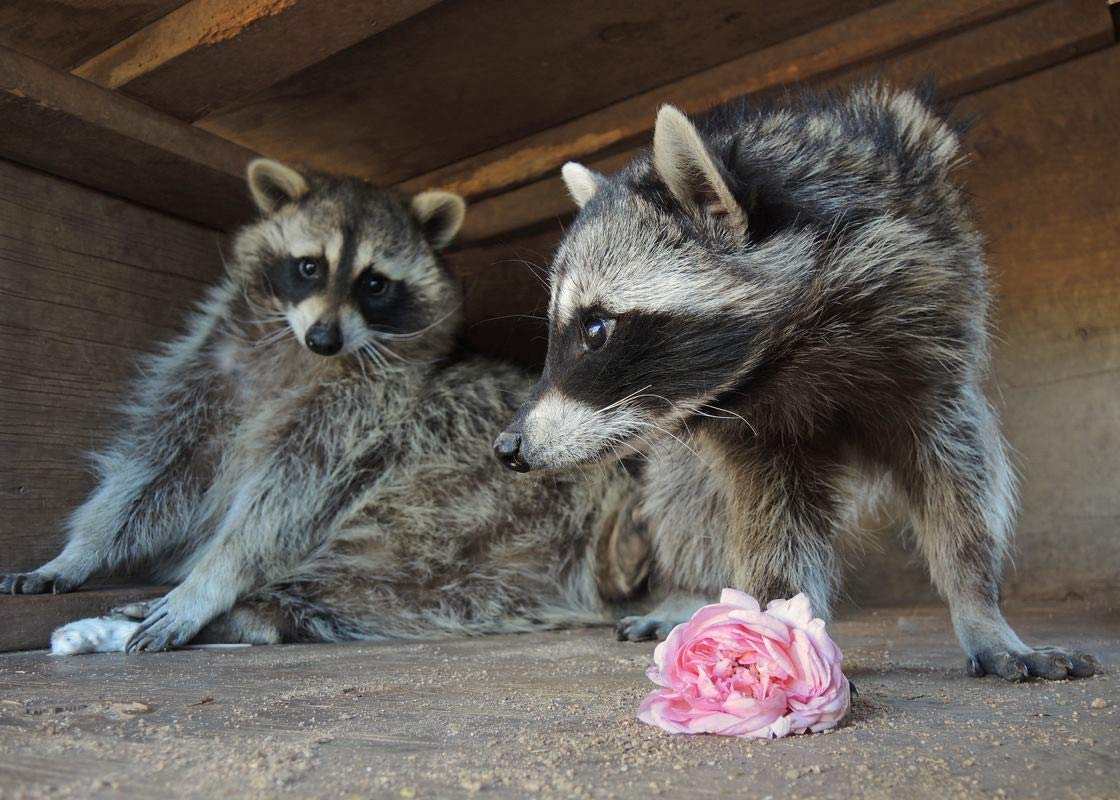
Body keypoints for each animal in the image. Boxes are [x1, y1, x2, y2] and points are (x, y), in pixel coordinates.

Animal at [2, 159, 649, 649]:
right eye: (308, 267)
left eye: (374, 283)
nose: (325, 338)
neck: (300, 358)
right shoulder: (212, 371)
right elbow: (157, 471)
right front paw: (79, 553)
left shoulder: (361, 413)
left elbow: (285, 502)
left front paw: (210, 579)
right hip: (452, 566)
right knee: (354, 591)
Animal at [495, 82, 1097, 681]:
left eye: (596, 330)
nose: (508, 446)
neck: (784, 353)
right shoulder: (747, 430)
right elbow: (773, 520)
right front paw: (777, 625)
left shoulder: (930, 327)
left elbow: (958, 477)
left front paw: (979, 604)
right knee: (689, 494)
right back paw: (690, 585)